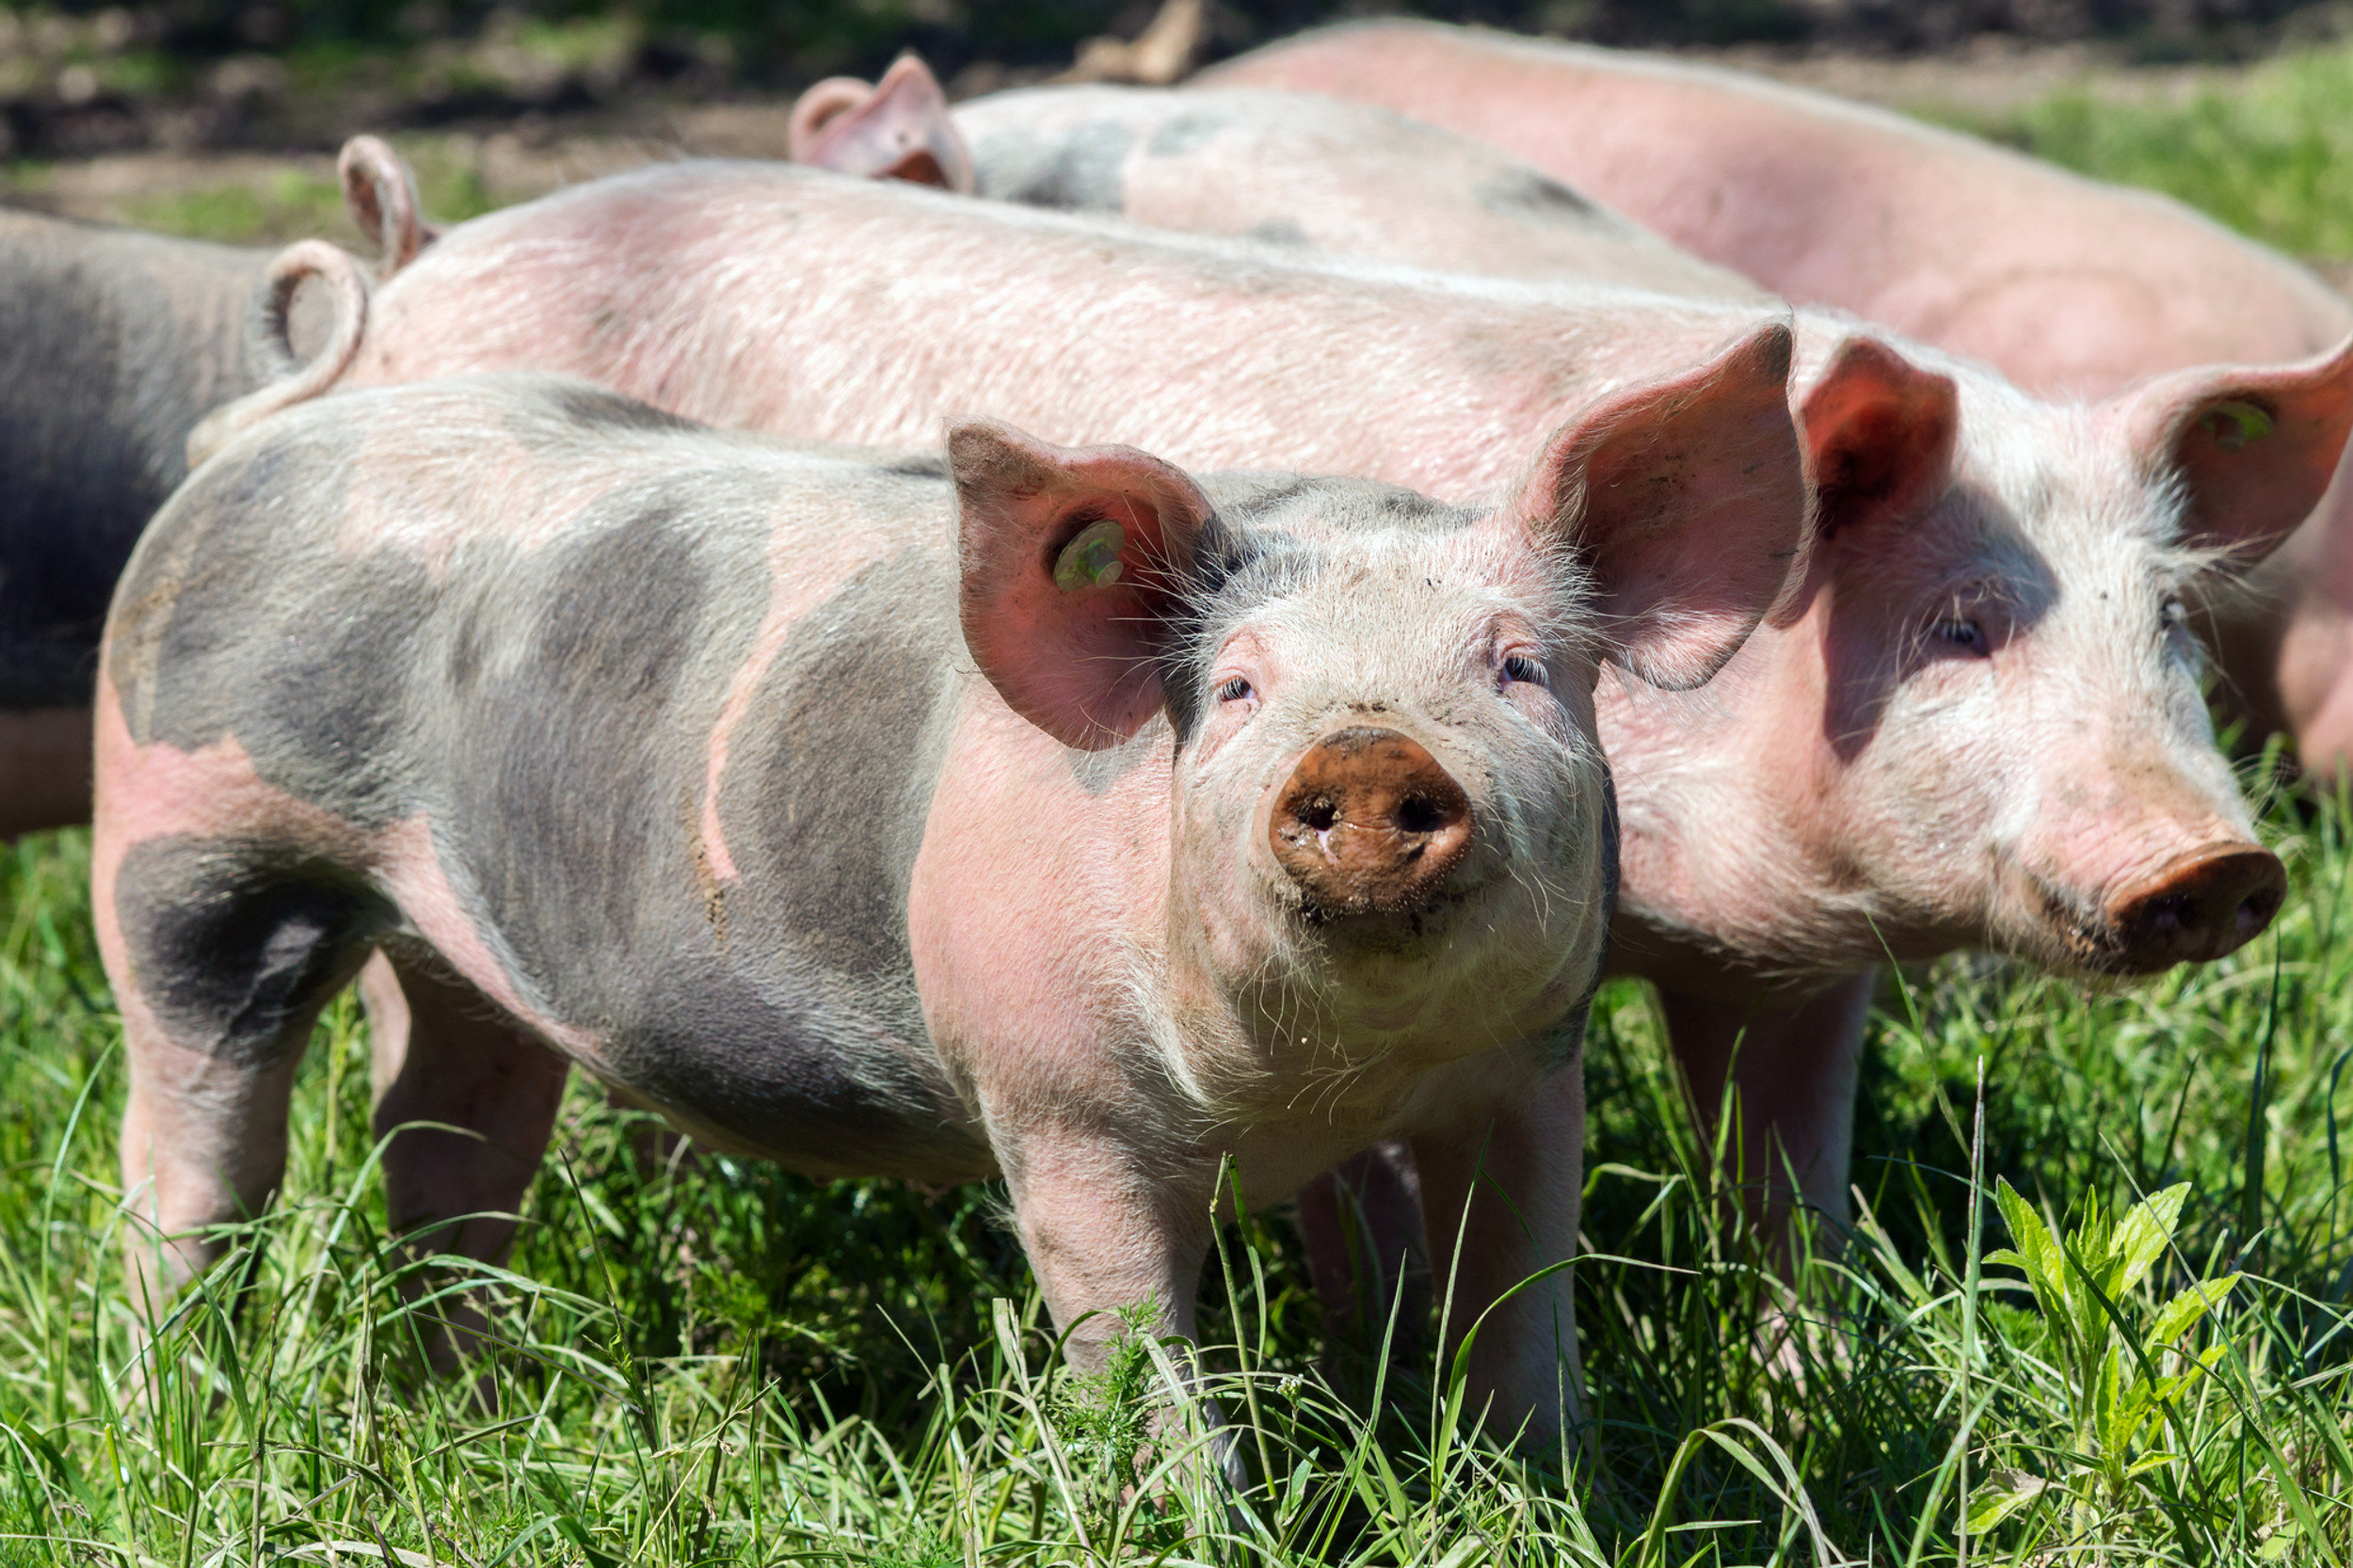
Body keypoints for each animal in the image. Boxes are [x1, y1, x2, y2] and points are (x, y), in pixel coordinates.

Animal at [100, 351, 1807, 1438]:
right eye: (1236, 688)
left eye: (1522, 668)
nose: (1376, 751)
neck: (1319, 1087)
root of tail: (258, 439)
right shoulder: (1059, 1103)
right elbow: (1137, 1365)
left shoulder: (1527, 1067)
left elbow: (1520, 1316)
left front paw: (1547, 1486)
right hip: (186, 856)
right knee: (192, 1149)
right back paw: (181, 1408)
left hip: (462, 953)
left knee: (446, 1144)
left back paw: (465, 1410)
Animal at [304, 162, 2350, 1275]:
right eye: (1957, 627)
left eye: (2170, 622)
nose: (2211, 864)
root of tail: (412, 285)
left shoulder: (1790, 966)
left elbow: (1793, 1193)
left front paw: (1802, 1377)